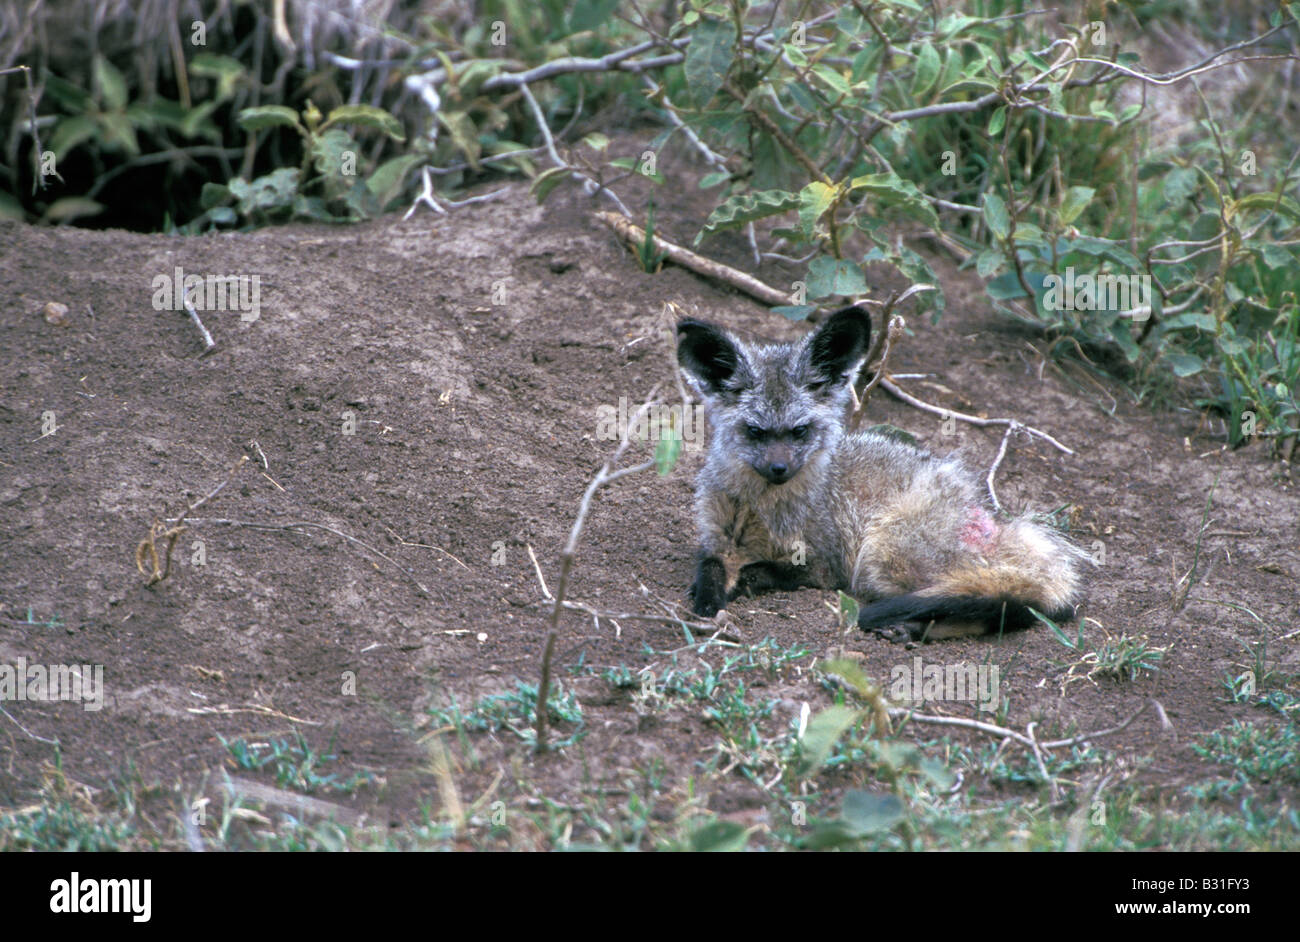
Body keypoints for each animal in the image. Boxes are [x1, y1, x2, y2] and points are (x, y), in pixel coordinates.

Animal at [675, 304, 1087, 642]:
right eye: (755, 431)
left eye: (800, 431)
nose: (780, 468)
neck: (761, 511)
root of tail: (1010, 529)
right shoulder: (716, 537)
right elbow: (710, 567)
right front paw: (707, 600)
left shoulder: (825, 564)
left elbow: (773, 572)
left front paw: (747, 581)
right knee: (1000, 609)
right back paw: (914, 629)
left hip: (880, 559)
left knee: (993, 602)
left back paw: (911, 624)